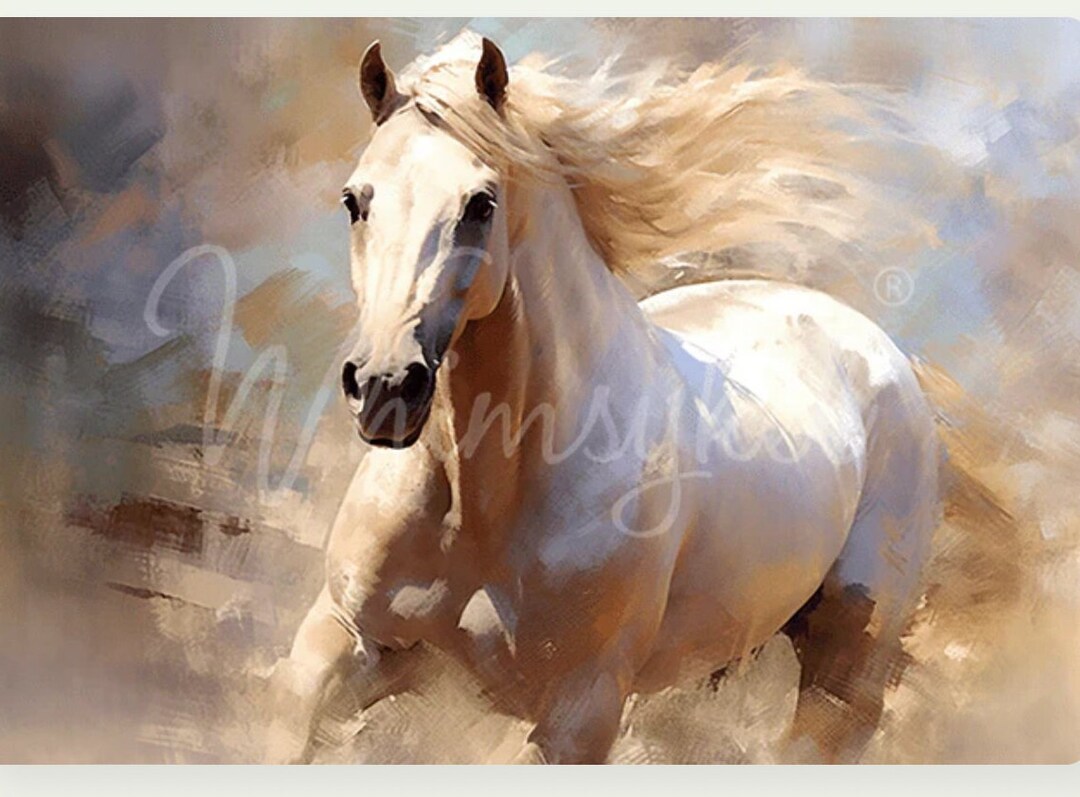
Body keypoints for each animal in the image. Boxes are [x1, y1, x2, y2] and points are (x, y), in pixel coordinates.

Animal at [264, 33, 939, 764]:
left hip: (846, 664)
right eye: (354, 200)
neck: (486, 501)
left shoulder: (577, 713)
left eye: (480, 203)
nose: (385, 386)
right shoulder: (345, 642)